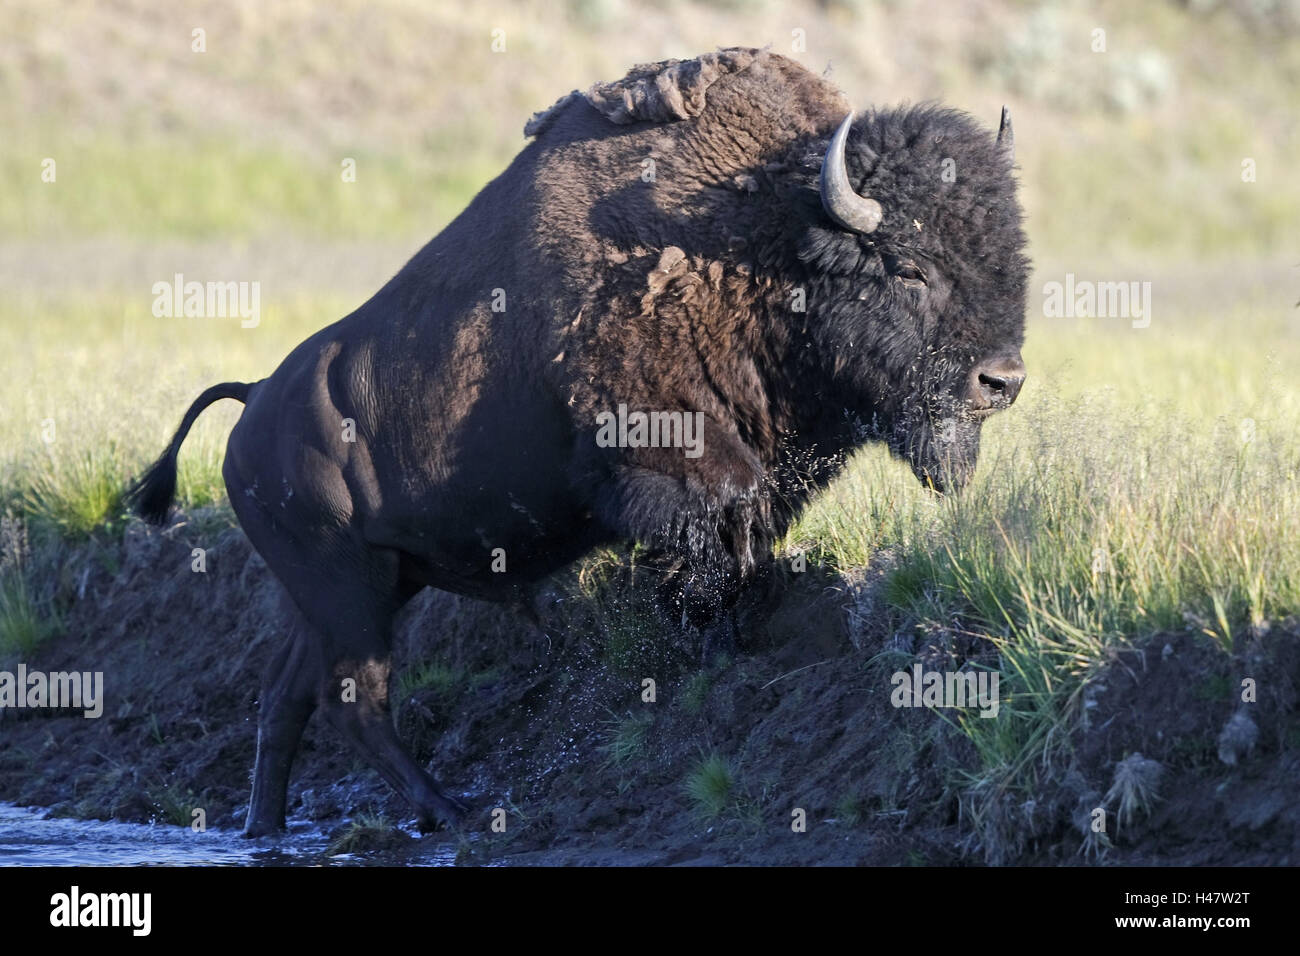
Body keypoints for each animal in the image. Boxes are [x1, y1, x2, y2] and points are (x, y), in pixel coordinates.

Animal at [129, 47, 1029, 836]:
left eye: (1009, 256)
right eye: (907, 267)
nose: (1002, 380)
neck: (753, 238)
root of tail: (253, 403)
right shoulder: (675, 463)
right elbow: (715, 550)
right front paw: (718, 645)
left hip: (352, 588)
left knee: (284, 698)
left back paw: (268, 828)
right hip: (347, 592)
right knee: (356, 701)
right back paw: (453, 813)